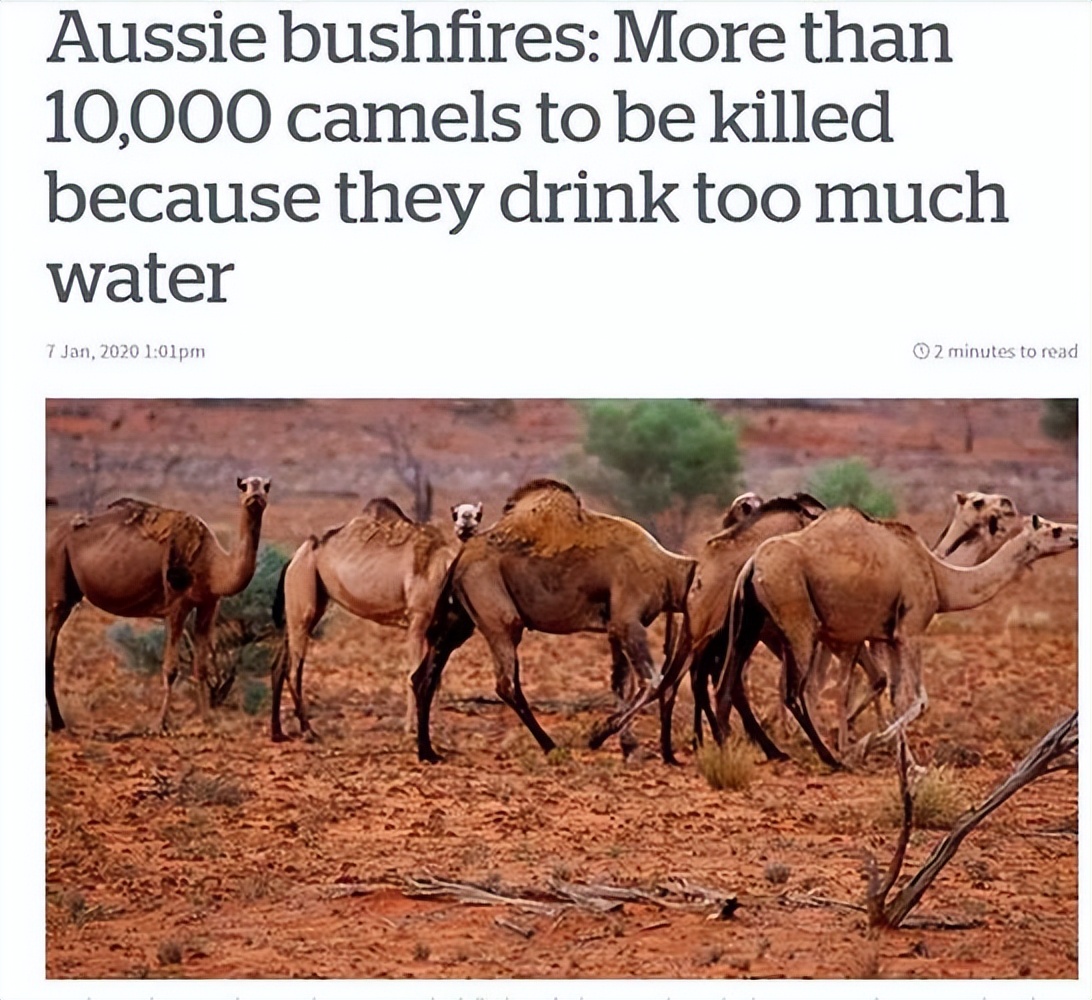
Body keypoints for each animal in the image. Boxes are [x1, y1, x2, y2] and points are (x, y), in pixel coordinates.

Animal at [46, 476, 272, 732]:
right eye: (244, 485)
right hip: (57, 569)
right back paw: (58, 723)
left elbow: (201, 667)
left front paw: (207, 720)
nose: (256, 496)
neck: (214, 565)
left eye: (266, 486)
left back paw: (58, 722)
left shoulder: (208, 605)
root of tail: (52, 535)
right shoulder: (176, 604)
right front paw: (160, 724)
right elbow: (171, 668)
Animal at [269, 497, 483, 741]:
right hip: (303, 590)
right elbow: (414, 675)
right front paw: (410, 728)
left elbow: (434, 678)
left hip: (305, 601)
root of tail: (292, 560)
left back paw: (278, 732)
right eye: (456, 514)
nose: (466, 522)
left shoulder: (434, 629)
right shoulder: (418, 619)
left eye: (478, 514)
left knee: (280, 664)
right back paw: (308, 730)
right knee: (293, 668)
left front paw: (434, 726)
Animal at [410, 478, 697, 763]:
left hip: (458, 619)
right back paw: (550, 745)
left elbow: (621, 683)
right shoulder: (627, 622)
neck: (667, 571)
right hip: (498, 615)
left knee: (424, 676)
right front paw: (597, 737)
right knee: (506, 684)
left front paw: (629, 747)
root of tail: (460, 558)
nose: (671, 755)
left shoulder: (616, 627)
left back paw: (428, 752)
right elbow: (652, 682)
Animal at [712, 507, 1077, 767]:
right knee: (793, 690)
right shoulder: (910, 630)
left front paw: (898, 758)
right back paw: (827, 757)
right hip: (797, 615)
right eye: (1054, 529)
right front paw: (871, 748)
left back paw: (730, 745)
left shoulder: (888, 636)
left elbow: (896, 695)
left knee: (728, 681)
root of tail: (752, 565)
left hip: (751, 622)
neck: (940, 577)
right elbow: (918, 699)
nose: (1076, 535)